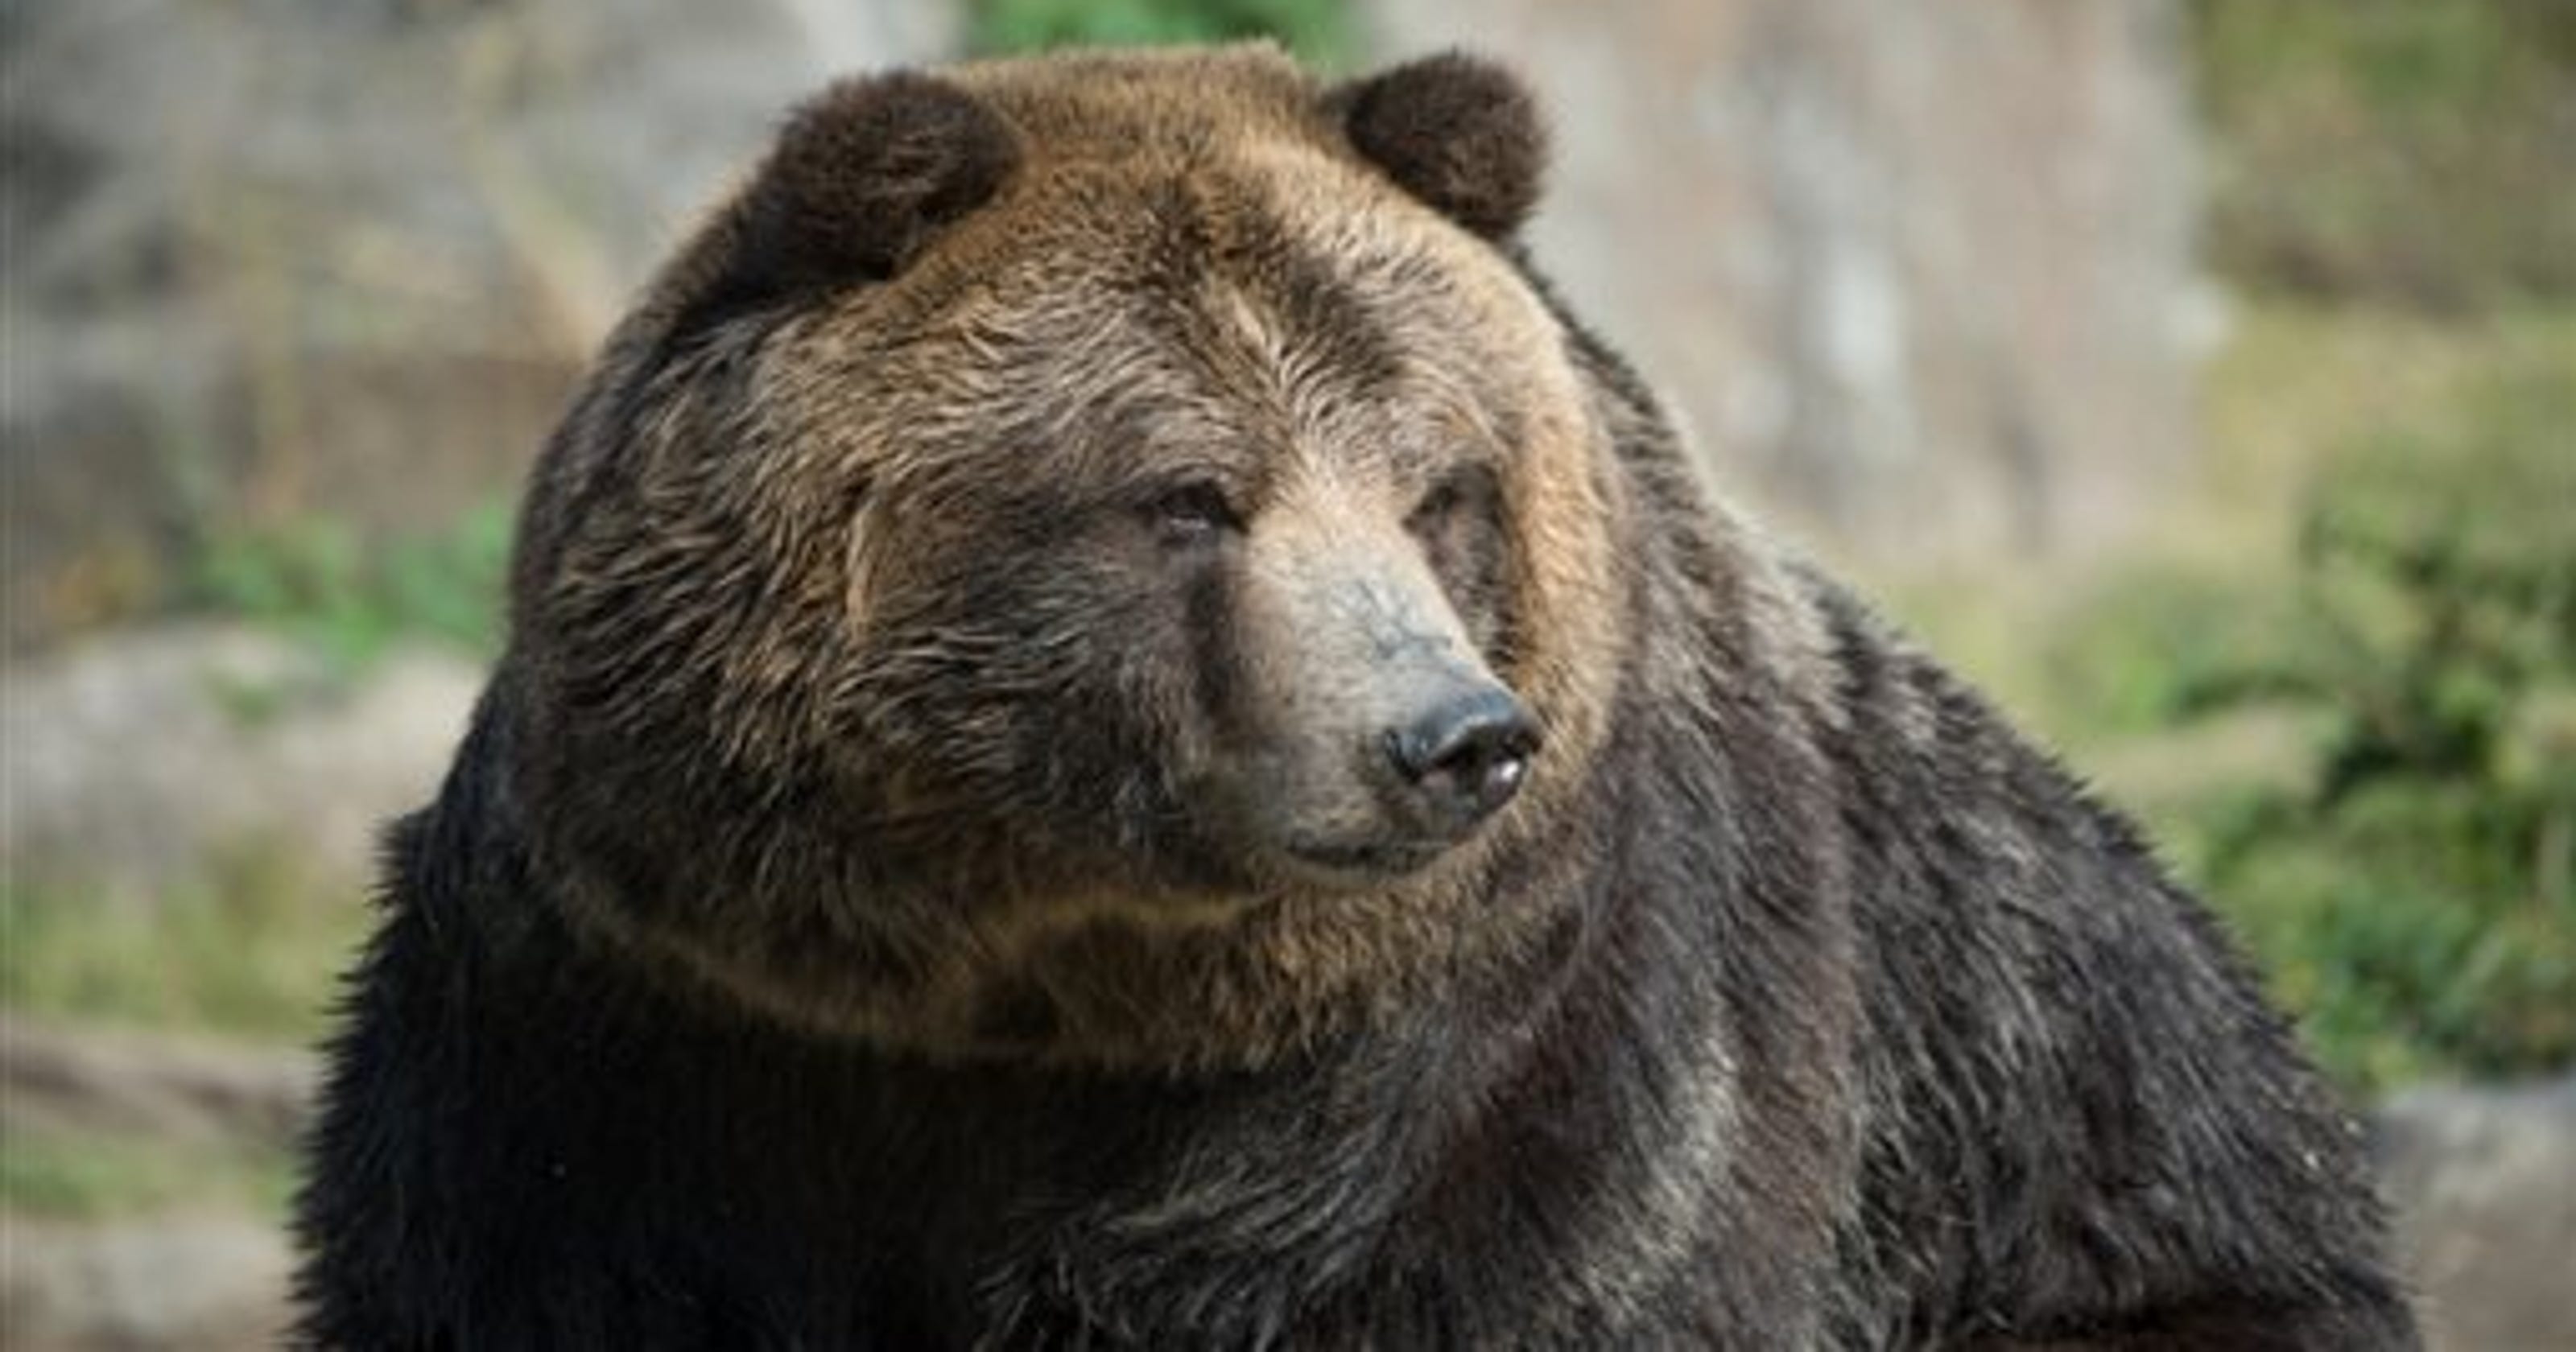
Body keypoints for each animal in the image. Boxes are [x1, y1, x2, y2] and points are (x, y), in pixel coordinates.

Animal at [293, 45, 2421, 1350]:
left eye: (1438, 486)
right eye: (1187, 493)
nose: (1449, 739)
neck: (1031, 999)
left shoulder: (1538, 1071)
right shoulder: (639, 1029)